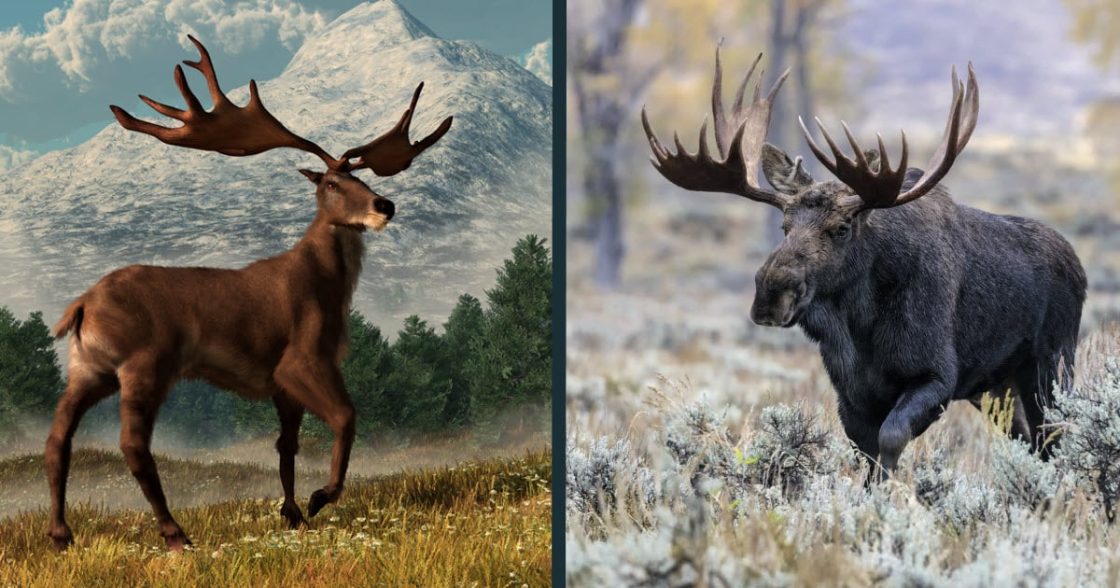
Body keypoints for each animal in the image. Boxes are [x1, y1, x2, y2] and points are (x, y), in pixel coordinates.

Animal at [44, 35, 452, 551]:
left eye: (365, 179)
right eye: (333, 183)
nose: (386, 205)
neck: (326, 287)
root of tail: (80, 305)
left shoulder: (281, 384)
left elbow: (286, 446)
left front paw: (292, 514)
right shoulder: (300, 358)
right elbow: (346, 416)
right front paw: (320, 498)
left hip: (87, 367)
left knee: (58, 438)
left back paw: (61, 534)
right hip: (144, 362)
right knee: (133, 445)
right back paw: (174, 534)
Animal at [641, 46, 1086, 480]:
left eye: (841, 228)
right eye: (784, 225)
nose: (770, 294)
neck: (861, 328)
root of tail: (1078, 266)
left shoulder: (938, 376)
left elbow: (890, 442)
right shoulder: (851, 395)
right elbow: (865, 456)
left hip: (1050, 366)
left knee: (1054, 438)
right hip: (997, 388)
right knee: (1030, 441)